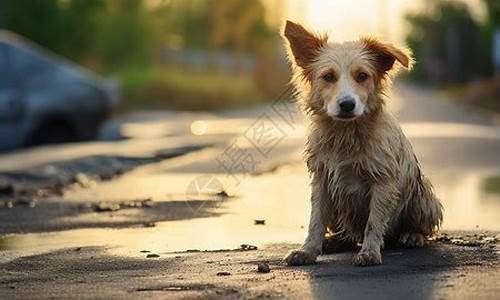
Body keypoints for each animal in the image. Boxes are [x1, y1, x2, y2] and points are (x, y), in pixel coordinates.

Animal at [284, 19, 444, 266]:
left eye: (362, 76)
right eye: (328, 77)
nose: (347, 104)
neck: (346, 134)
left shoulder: (383, 181)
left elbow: (374, 222)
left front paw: (369, 252)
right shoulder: (322, 180)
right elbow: (316, 220)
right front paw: (308, 250)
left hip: (423, 196)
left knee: (419, 227)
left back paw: (412, 235)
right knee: (347, 234)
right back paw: (335, 241)